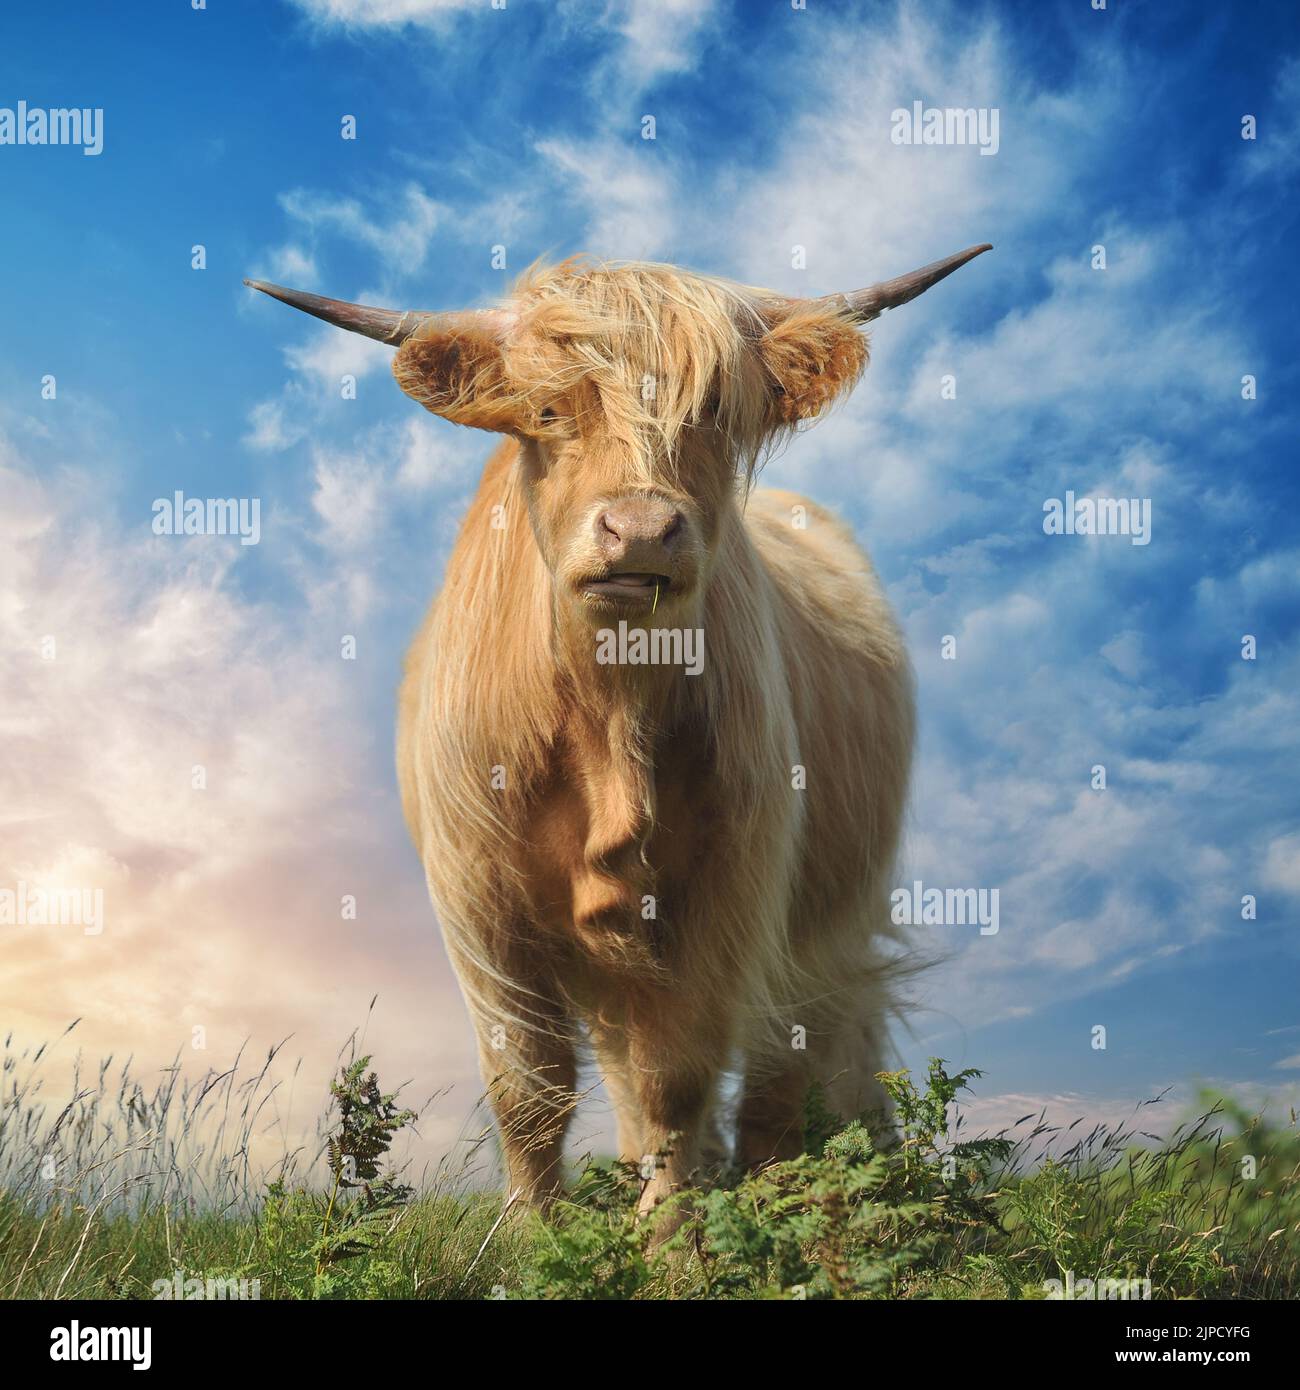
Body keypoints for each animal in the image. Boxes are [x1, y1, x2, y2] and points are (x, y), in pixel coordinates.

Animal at [246, 243, 990, 1218]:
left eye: (713, 414)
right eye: (547, 410)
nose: (638, 532)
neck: (609, 723)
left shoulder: (735, 885)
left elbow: (681, 1075)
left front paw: (670, 1233)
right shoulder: (477, 900)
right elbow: (530, 1090)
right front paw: (535, 1234)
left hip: (832, 920)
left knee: (797, 1072)